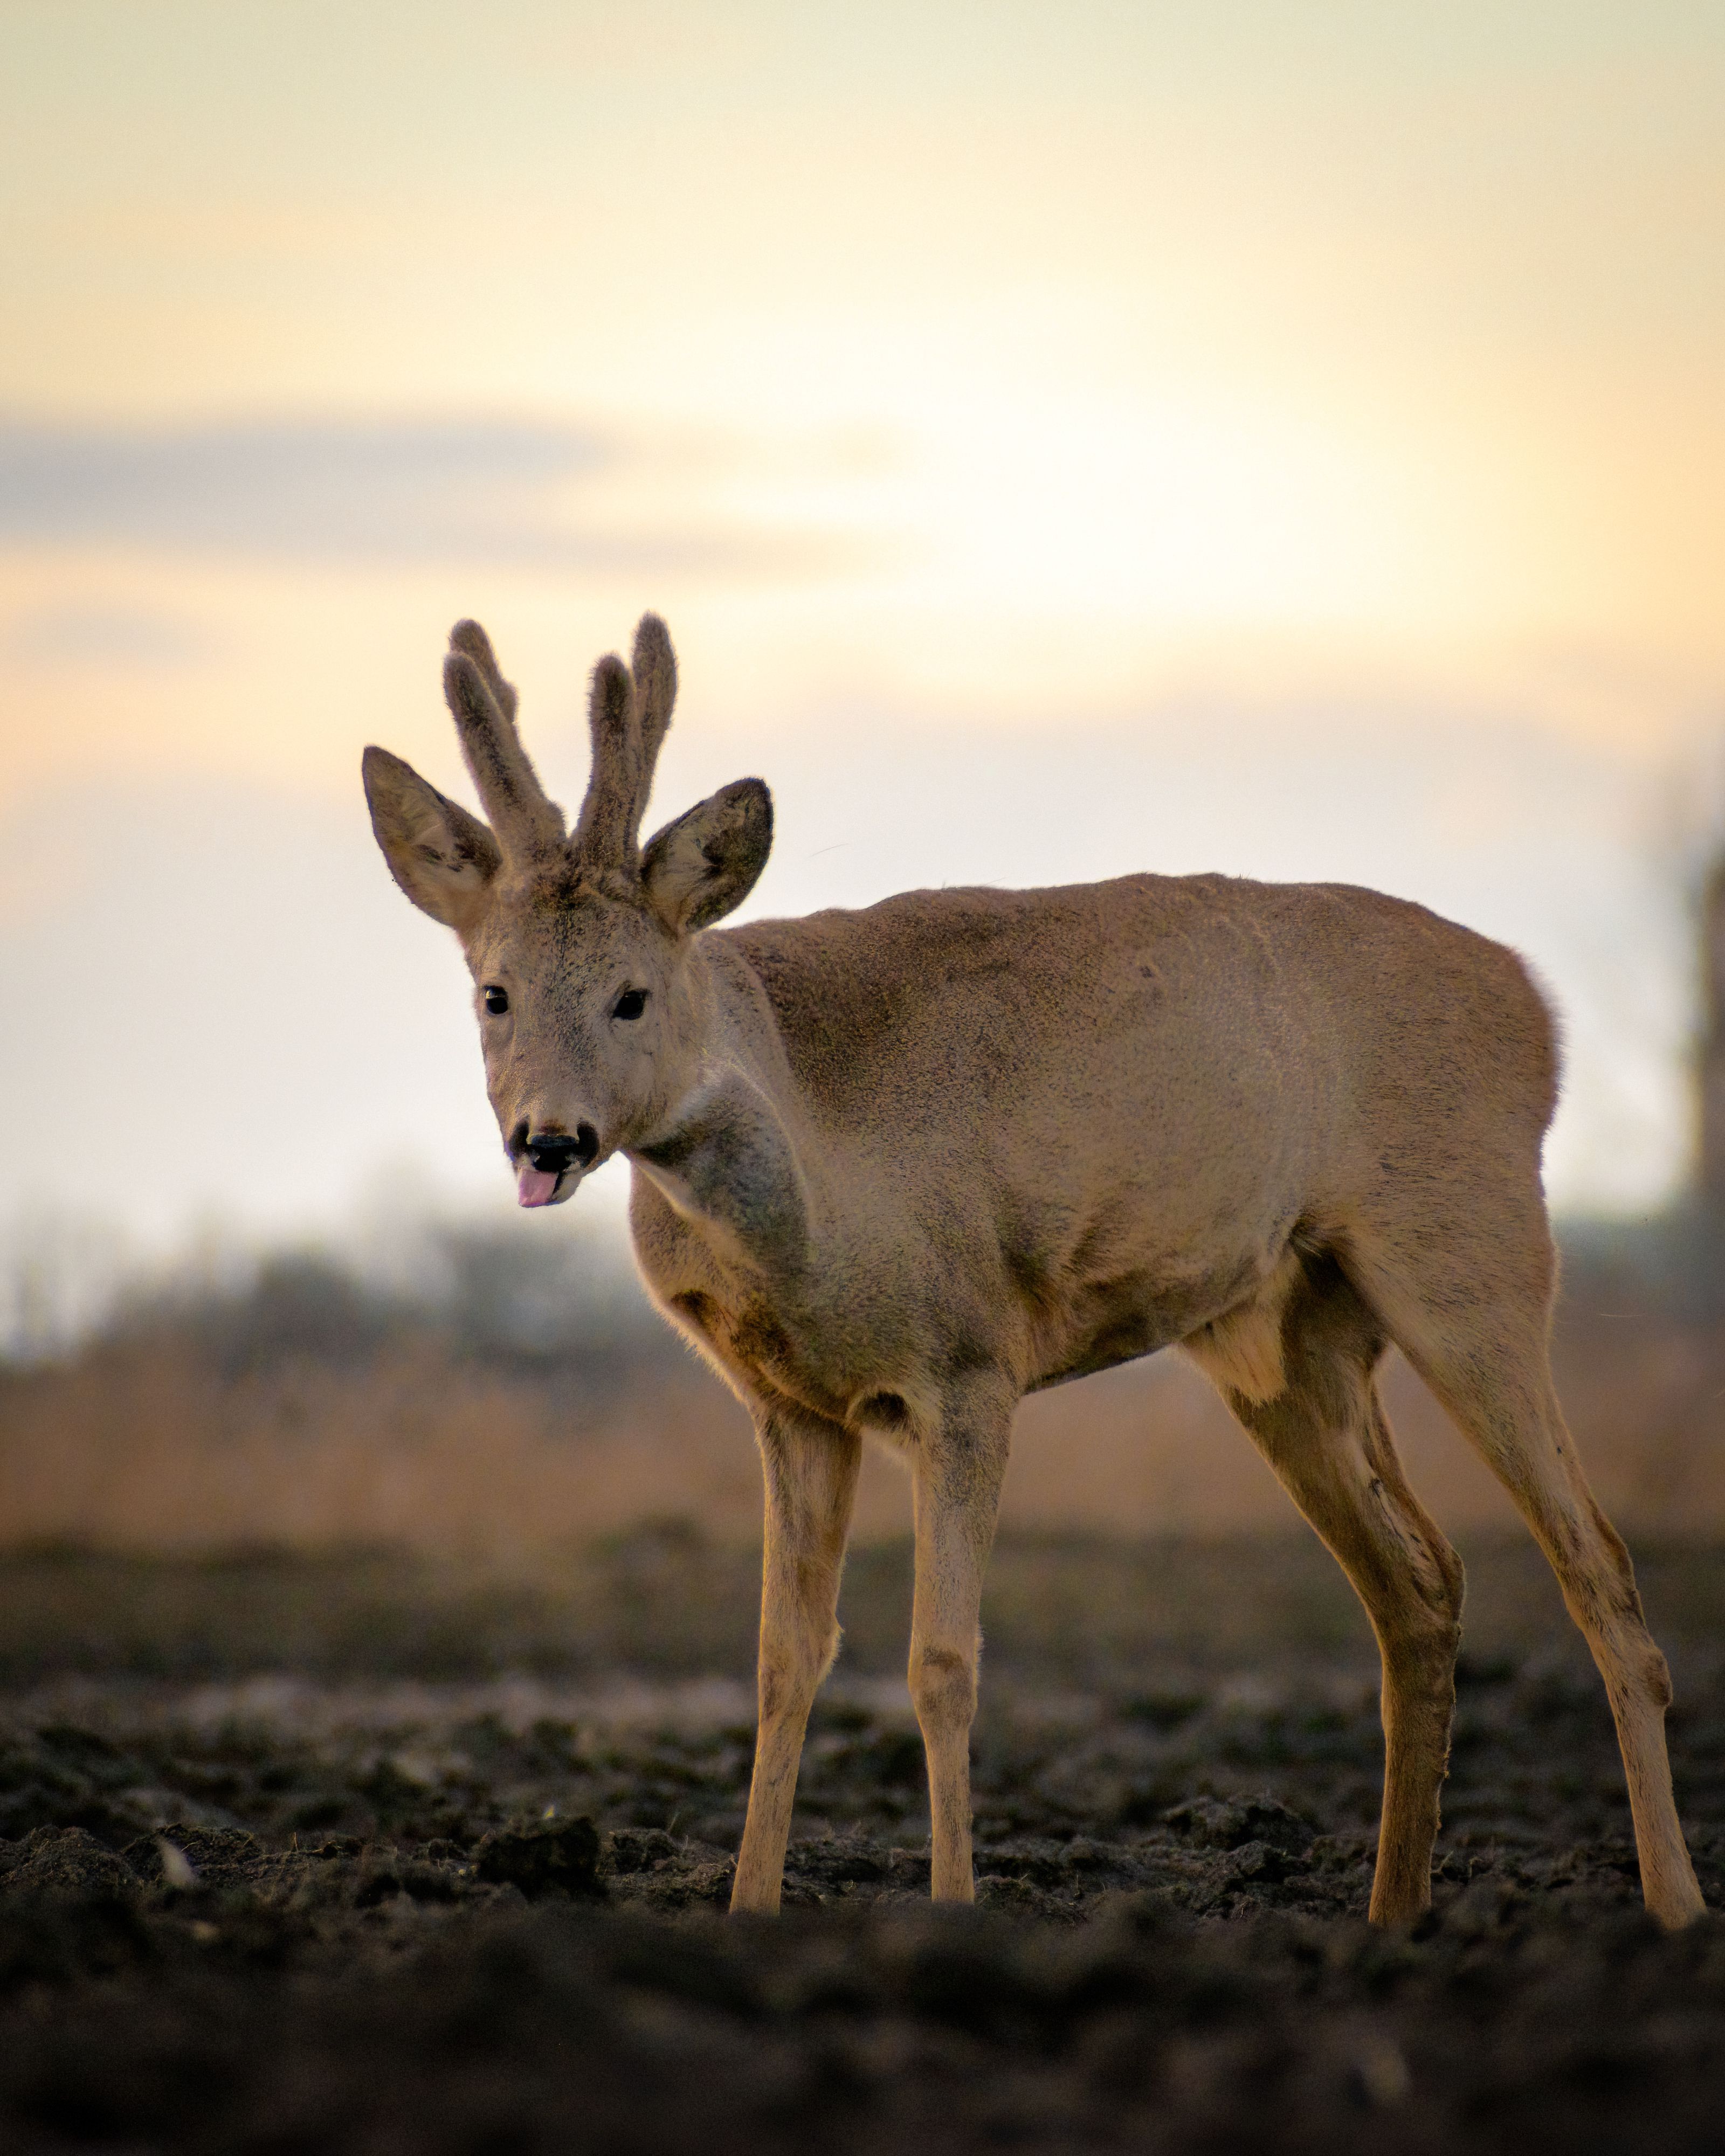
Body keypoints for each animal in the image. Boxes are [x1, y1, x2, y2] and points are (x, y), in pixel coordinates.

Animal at [363, 611, 1705, 1931]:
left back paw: (1671, 1905)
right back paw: (1392, 1914)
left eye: (633, 995)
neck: (810, 1188)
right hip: (1288, 1330)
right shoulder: (791, 1406)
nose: (547, 1137)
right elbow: (783, 1660)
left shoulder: (967, 1363)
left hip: (1471, 1247)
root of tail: (1537, 1004)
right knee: (1420, 1582)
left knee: (1598, 1565)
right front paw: (748, 1911)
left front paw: (957, 1908)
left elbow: (942, 1661)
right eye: (493, 993)